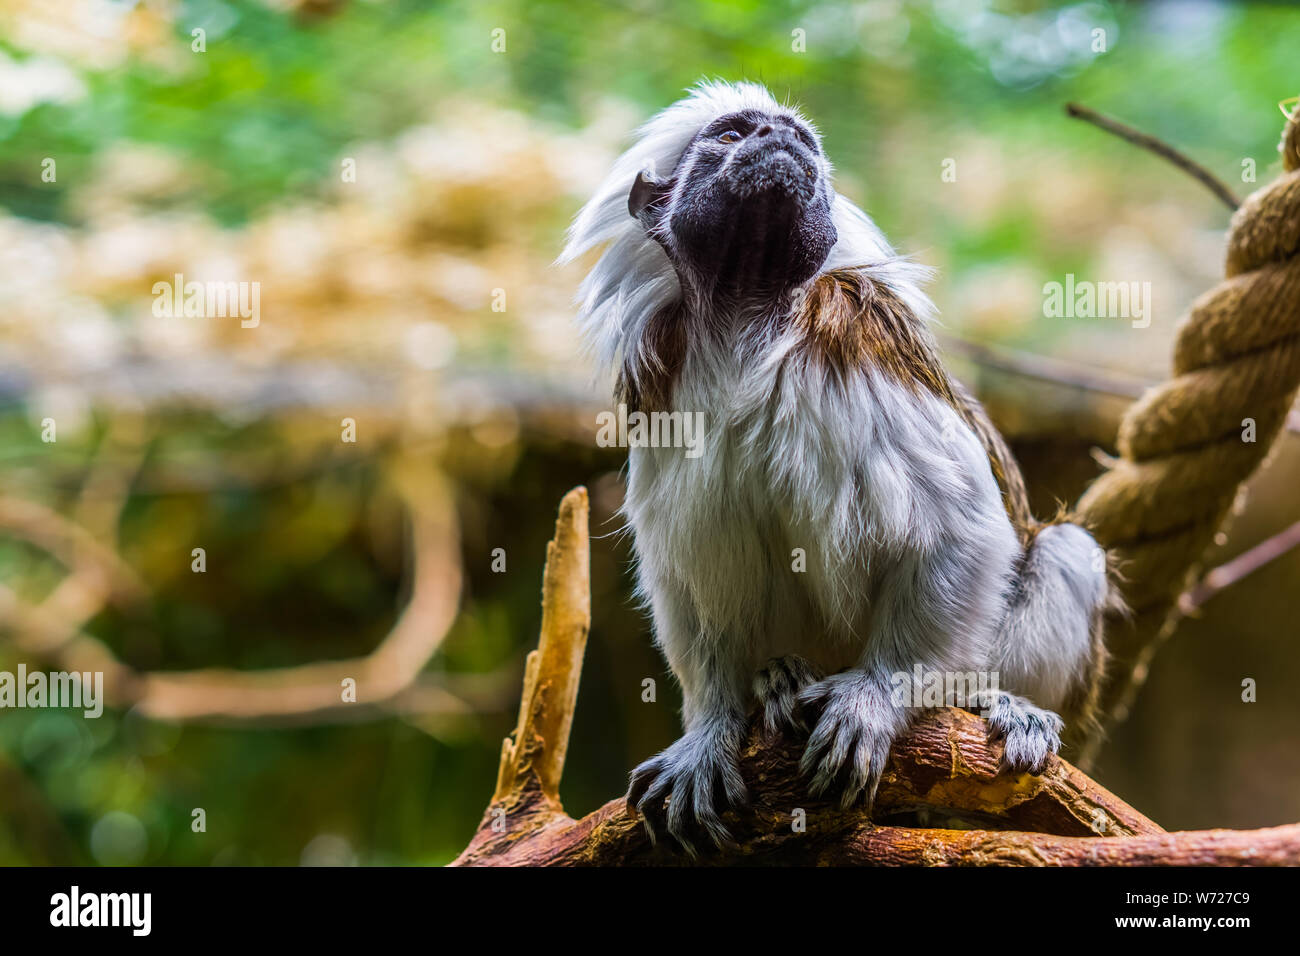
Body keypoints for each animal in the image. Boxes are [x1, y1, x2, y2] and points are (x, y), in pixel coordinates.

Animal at [560, 81, 1112, 854]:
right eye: (733, 134)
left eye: (802, 141)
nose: (781, 141)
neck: (747, 316)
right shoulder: (662, 391)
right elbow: (688, 572)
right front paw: (713, 729)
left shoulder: (858, 331)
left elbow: (961, 532)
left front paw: (875, 697)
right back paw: (780, 680)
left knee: (1065, 548)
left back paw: (995, 702)